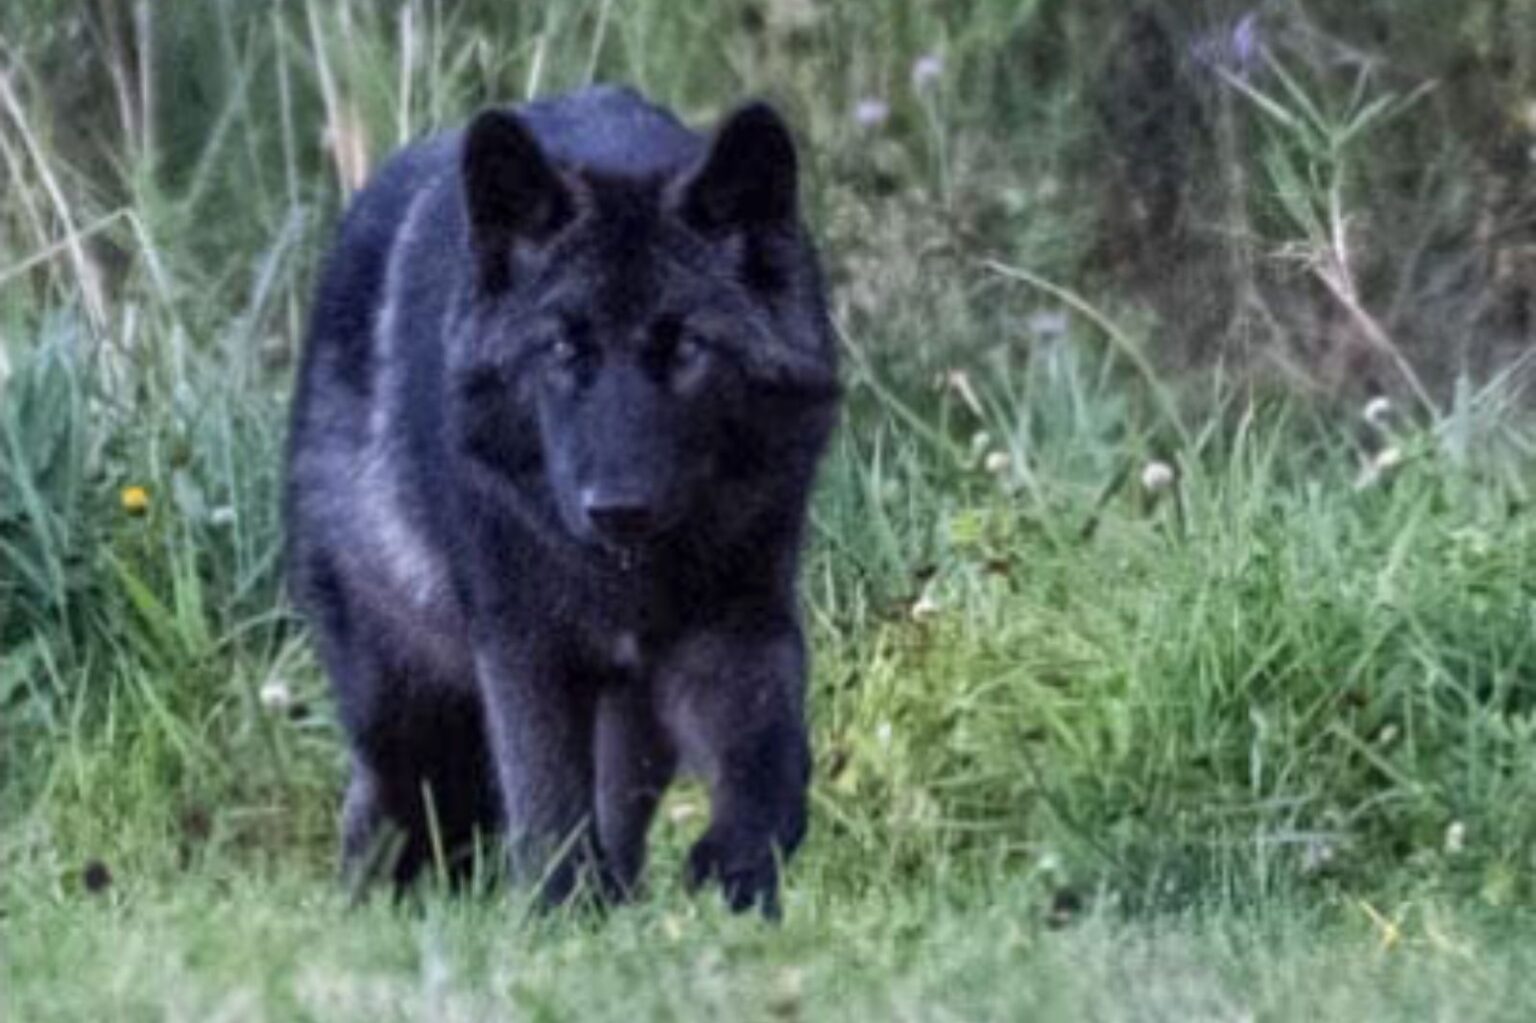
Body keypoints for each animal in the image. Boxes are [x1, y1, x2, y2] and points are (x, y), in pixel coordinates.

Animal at [283, 85, 839, 914]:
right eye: (563, 348)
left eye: (687, 348)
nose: (618, 508)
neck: (626, 582)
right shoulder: (524, 649)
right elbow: (546, 808)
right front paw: (557, 915)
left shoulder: (736, 628)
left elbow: (772, 768)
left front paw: (735, 878)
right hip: (410, 721)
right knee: (390, 809)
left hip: (626, 721)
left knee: (615, 820)